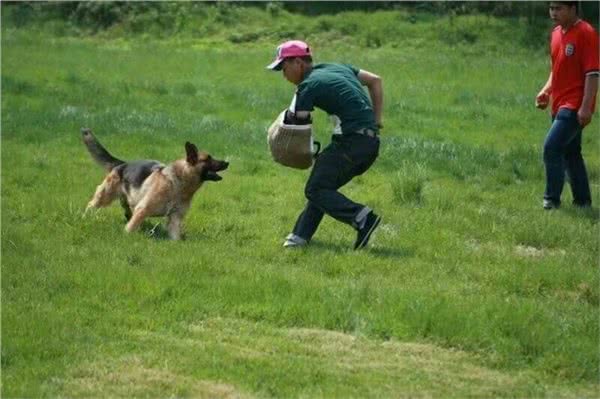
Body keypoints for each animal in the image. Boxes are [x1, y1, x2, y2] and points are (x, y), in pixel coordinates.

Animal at [82, 129, 227, 241]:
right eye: (208, 158)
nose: (227, 163)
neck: (178, 184)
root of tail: (122, 164)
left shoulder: (175, 218)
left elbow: (175, 237)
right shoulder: (143, 209)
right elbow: (130, 229)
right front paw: (126, 236)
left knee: (128, 214)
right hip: (105, 196)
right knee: (91, 204)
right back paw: (84, 218)